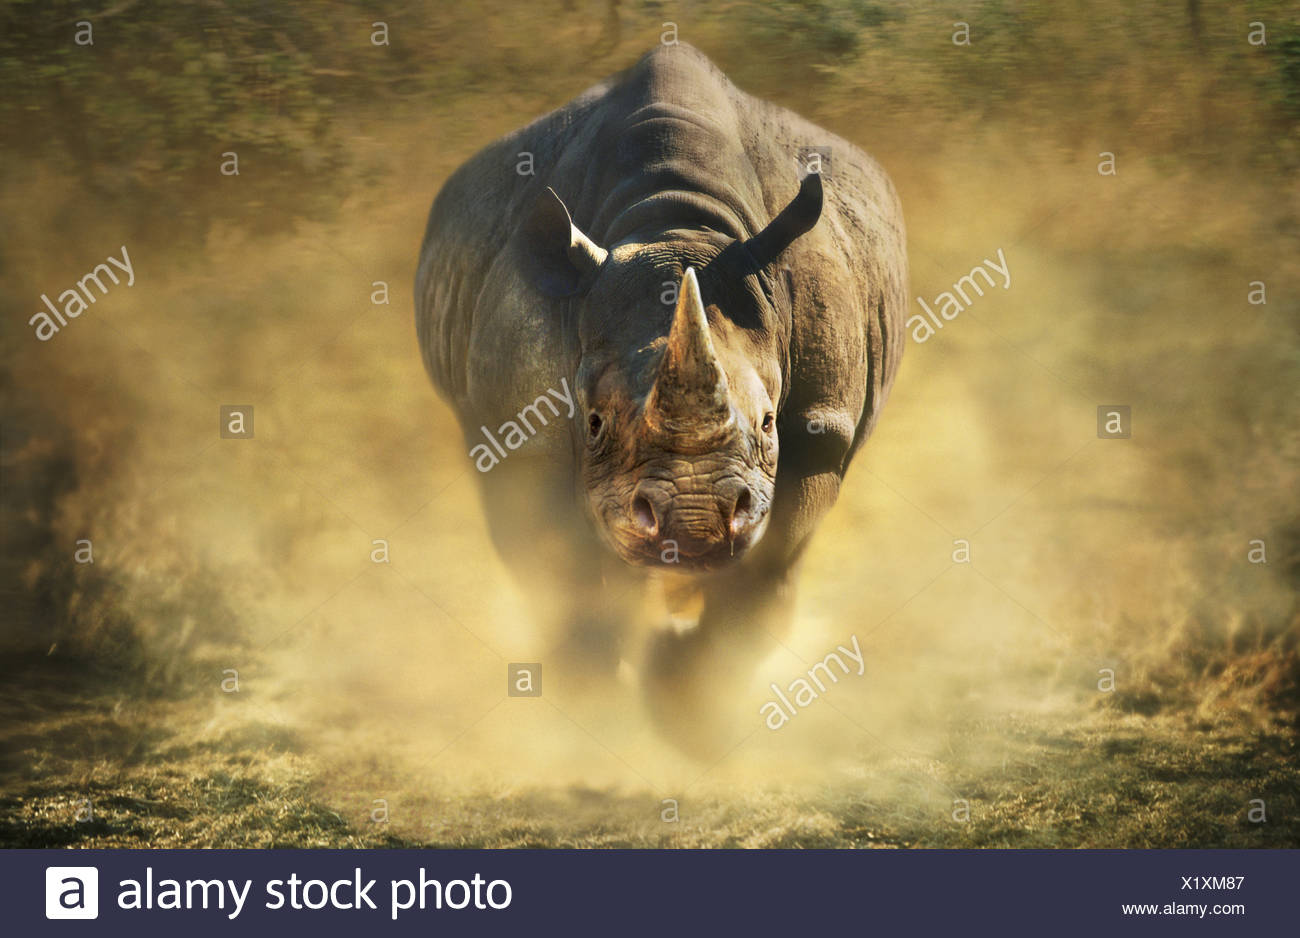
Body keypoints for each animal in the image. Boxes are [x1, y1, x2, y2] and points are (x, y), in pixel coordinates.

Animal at [415, 42, 906, 755]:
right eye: (592, 423)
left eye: (768, 423)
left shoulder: (822, 429)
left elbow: (763, 575)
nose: (691, 525)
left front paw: (686, 711)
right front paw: (595, 716)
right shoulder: (515, 433)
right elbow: (561, 577)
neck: (670, 224)